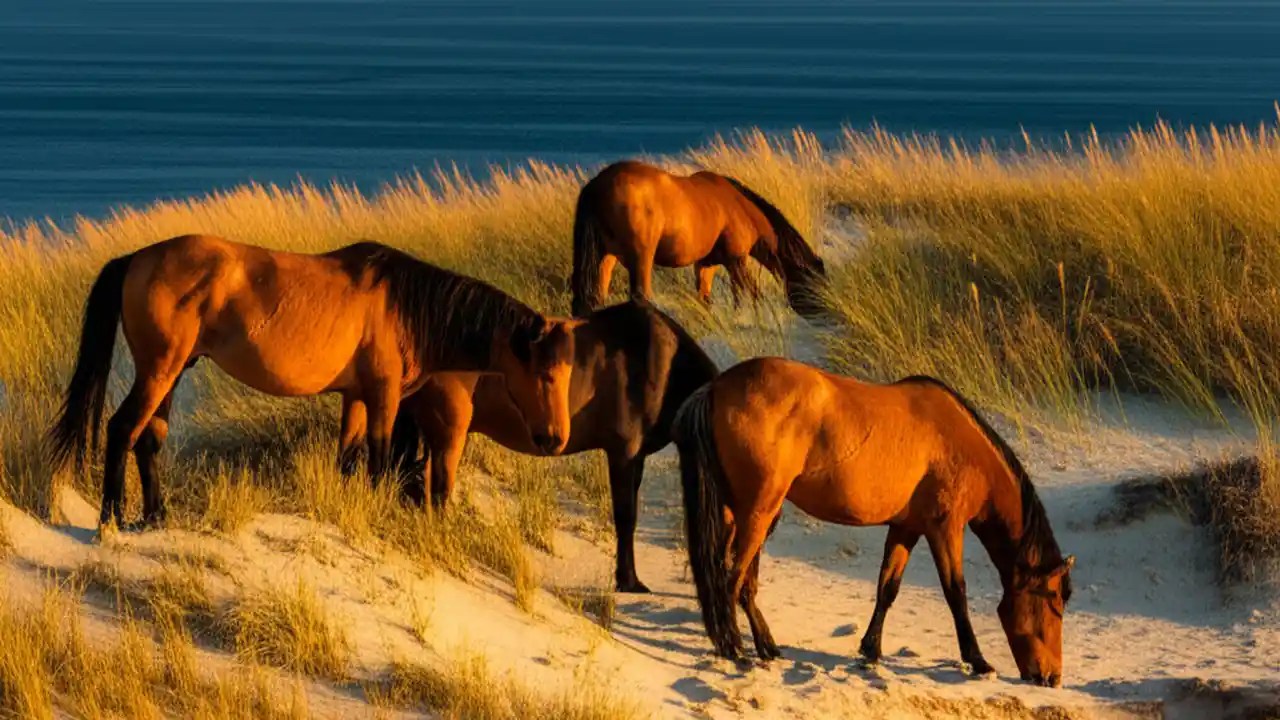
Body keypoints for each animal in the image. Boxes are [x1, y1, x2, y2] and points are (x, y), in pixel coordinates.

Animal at [46, 234, 579, 530]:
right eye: (547, 373)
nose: (554, 439)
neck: (406, 306)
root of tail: (137, 257)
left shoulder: (356, 398)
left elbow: (347, 458)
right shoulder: (383, 397)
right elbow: (379, 463)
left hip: (174, 373)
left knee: (149, 439)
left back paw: (156, 516)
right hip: (159, 370)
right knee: (122, 429)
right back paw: (112, 518)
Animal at [387, 300, 718, 593]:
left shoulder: (635, 457)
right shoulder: (624, 450)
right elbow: (626, 517)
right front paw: (629, 581)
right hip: (449, 429)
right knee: (435, 488)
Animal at [569, 161, 827, 319]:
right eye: (815, 281)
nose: (822, 316)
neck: (740, 207)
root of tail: (597, 185)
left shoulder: (707, 265)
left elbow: (708, 299)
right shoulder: (737, 260)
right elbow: (750, 295)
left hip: (606, 257)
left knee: (597, 295)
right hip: (641, 258)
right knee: (641, 296)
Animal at [672, 357, 1075, 687]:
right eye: (1054, 600)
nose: (1052, 677)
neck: (960, 444)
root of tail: (716, 387)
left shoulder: (906, 528)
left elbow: (887, 588)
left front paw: (871, 650)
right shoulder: (945, 529)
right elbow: (955, 593)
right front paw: (977, 660)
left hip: (744, 514)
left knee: (740, 581)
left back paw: (764, 646)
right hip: (758, 513)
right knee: (732, 578)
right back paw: (733, 649)